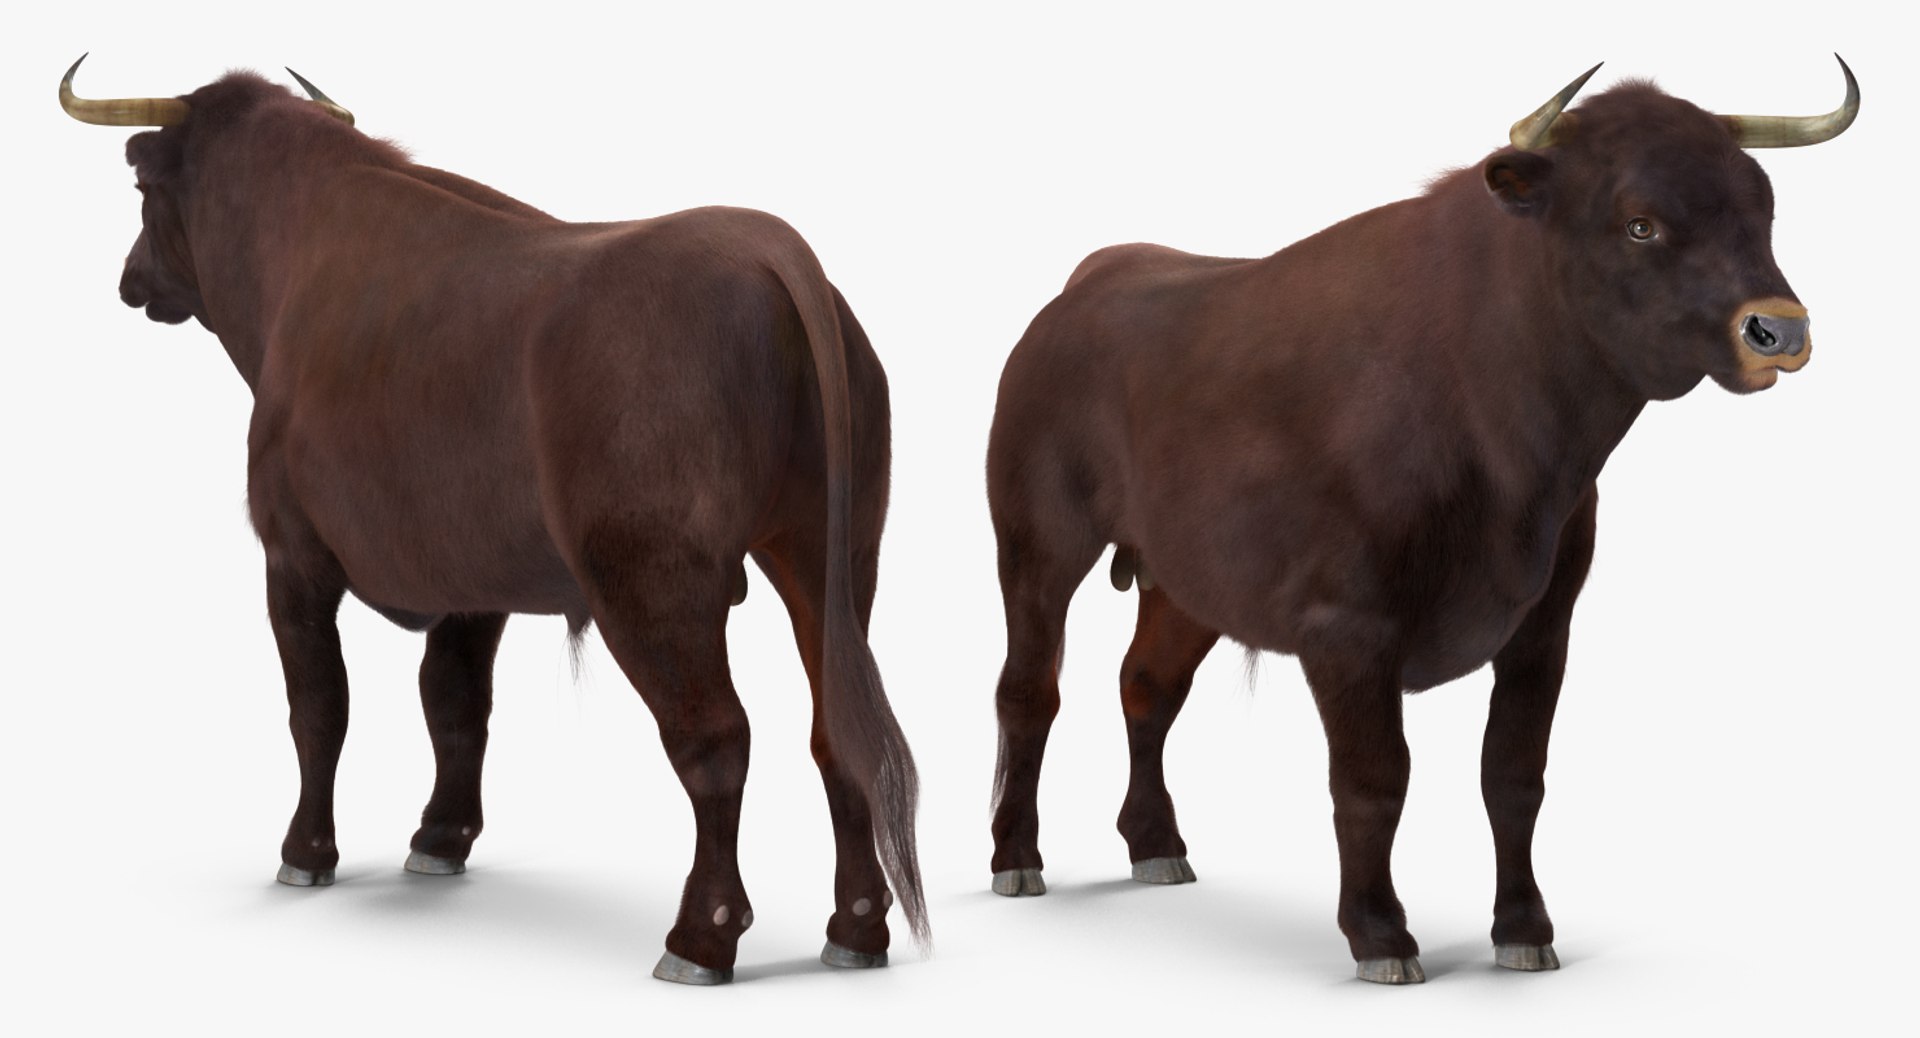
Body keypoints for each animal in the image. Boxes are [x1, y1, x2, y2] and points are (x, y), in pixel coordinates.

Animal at [60, 55, 924, 985]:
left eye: (142, 187)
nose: (131, 279)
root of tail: (764, 244)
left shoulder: (293, 556)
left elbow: (318, 706)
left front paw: (306, 853)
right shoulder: (470, 583)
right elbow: (453, 703)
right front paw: (440, 839)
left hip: (656, 587)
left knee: (716, 738)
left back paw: (700, 937)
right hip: (833, 562)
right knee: (837, 728)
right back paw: (856, 929)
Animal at [984, 59, 1857, 983]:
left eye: (1762, 211)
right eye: (1639, 222)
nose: (1778, 331)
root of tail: (1093, 280)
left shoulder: (1543, 626)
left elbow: (1513, 777)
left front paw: (1523, 928)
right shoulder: (1348, 629)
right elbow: (1374, 781)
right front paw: (1379, 934)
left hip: (1181, 580)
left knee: (1147, 686)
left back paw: (1156, 845)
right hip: (1036, 547)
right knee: (1030, 689)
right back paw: (1017, 859)